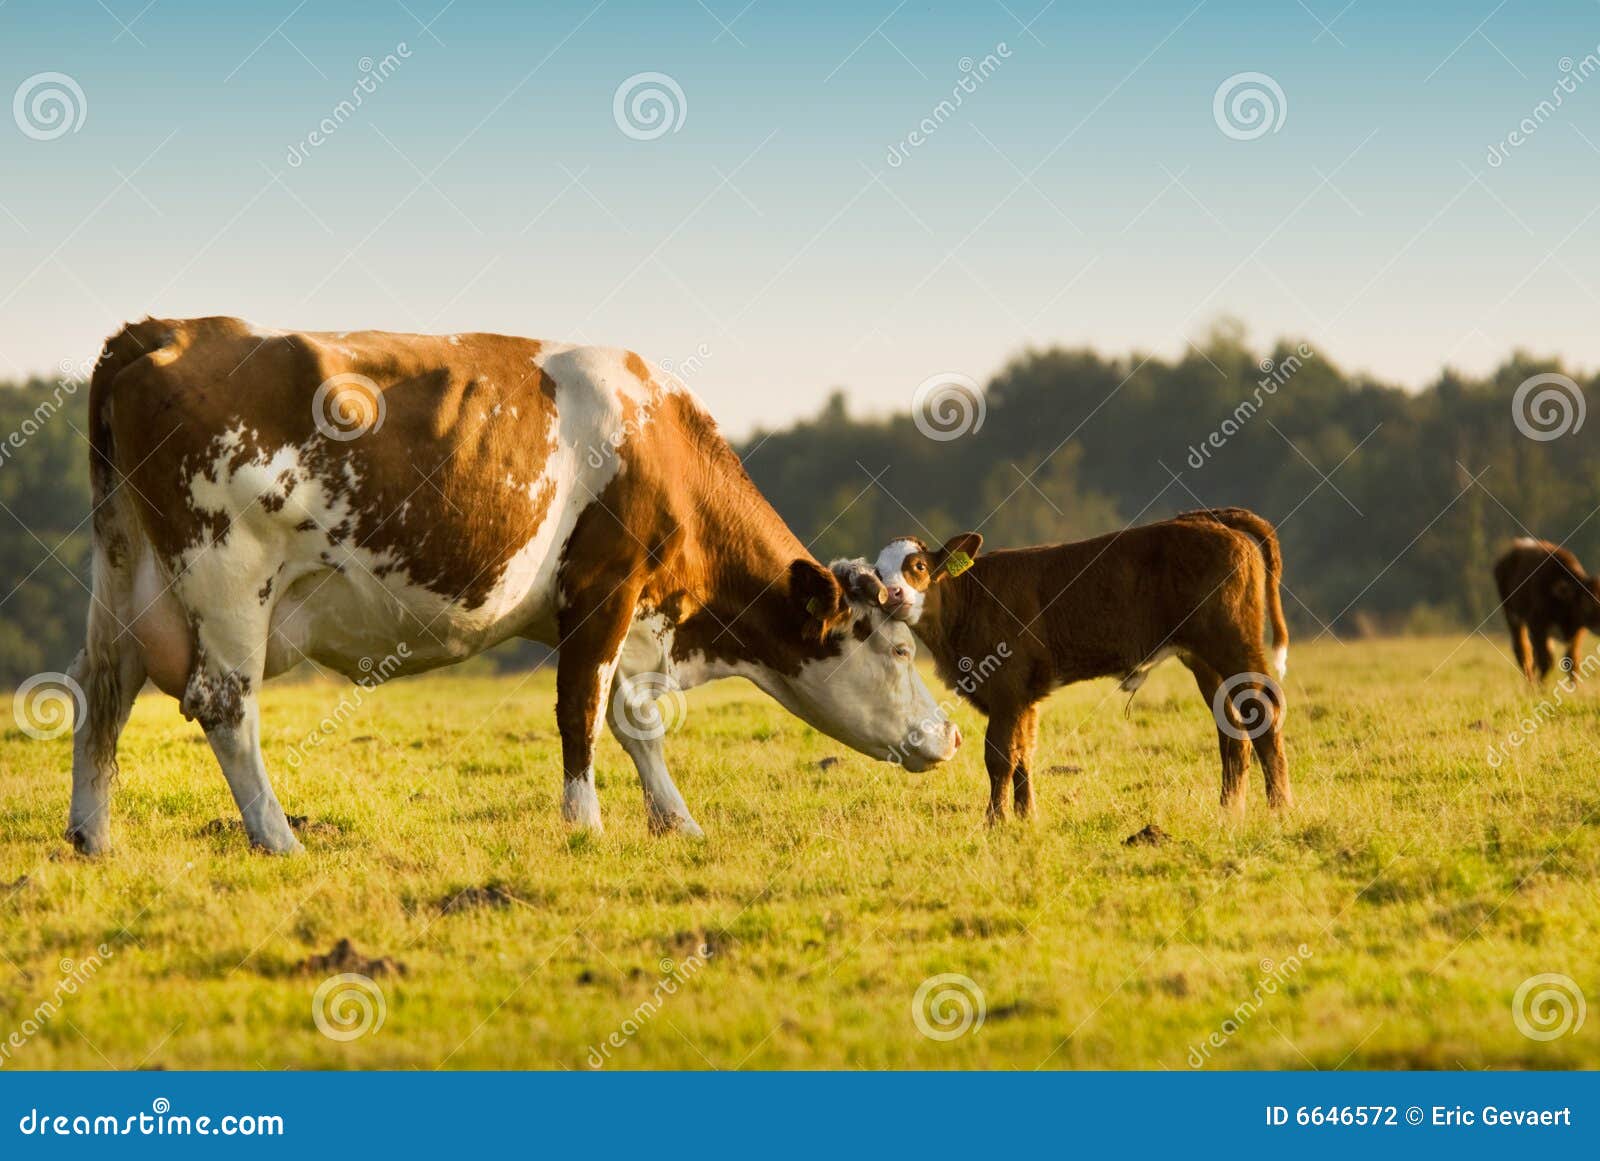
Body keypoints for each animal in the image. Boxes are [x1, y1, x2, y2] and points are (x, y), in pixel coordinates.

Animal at [66, 317, 959, 854]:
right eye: (900, 647)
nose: (949, 734)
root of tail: (171, 331)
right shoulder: (603, 586)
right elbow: (582, 711)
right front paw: (586, 825)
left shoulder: (635, 619)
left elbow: (636, 725)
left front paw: (676, 822)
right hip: (228, 576)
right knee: (224, 704)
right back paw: (279, 837)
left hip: (123, 571)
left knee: (101, 690)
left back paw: (92, 837)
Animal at [872, 508, 1291, 822]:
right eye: (877, 573)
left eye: (918, 566)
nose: (891, 594)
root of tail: (1210, 520)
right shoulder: (1025, 695)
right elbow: (1024, 753)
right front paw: (1026, 818)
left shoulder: (1007, 686)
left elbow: (1000, 755)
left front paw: (995, 821)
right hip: (1204, 659)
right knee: (1232, 728)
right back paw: (1229, 810)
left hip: (1233, 642)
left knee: (1261, 711)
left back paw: (1279, 809)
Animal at [1493, 537, 1600, 682]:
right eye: (1586, 602)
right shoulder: (1537, 625)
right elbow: (1546, 661)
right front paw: (1542, 686)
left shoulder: (1576, 633)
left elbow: (1573, 661)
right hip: (1513, 617)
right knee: (1523, 652)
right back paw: (1531, 683)